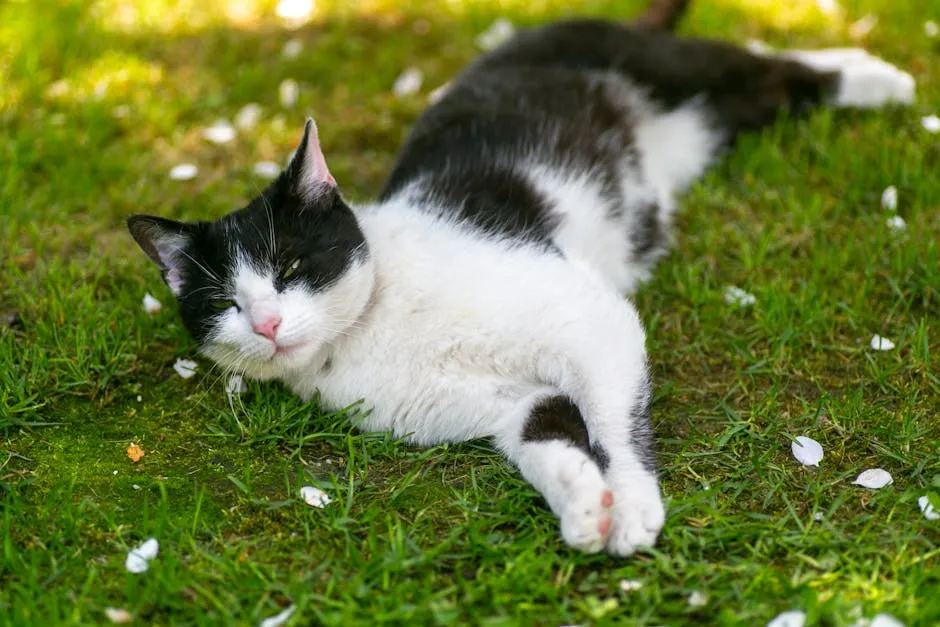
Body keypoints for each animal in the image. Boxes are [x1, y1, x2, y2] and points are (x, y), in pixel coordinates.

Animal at [125, 0, 912, 560]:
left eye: (290, 267)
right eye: (226, 304)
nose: (266, 323)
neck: (372, 329)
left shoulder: (591, 321)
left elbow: (613, 423)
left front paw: (632, 503)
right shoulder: (501, 403)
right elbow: (545, 437)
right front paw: (584, 505)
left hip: (680, 73)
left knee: (779, 72)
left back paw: (883, 79)